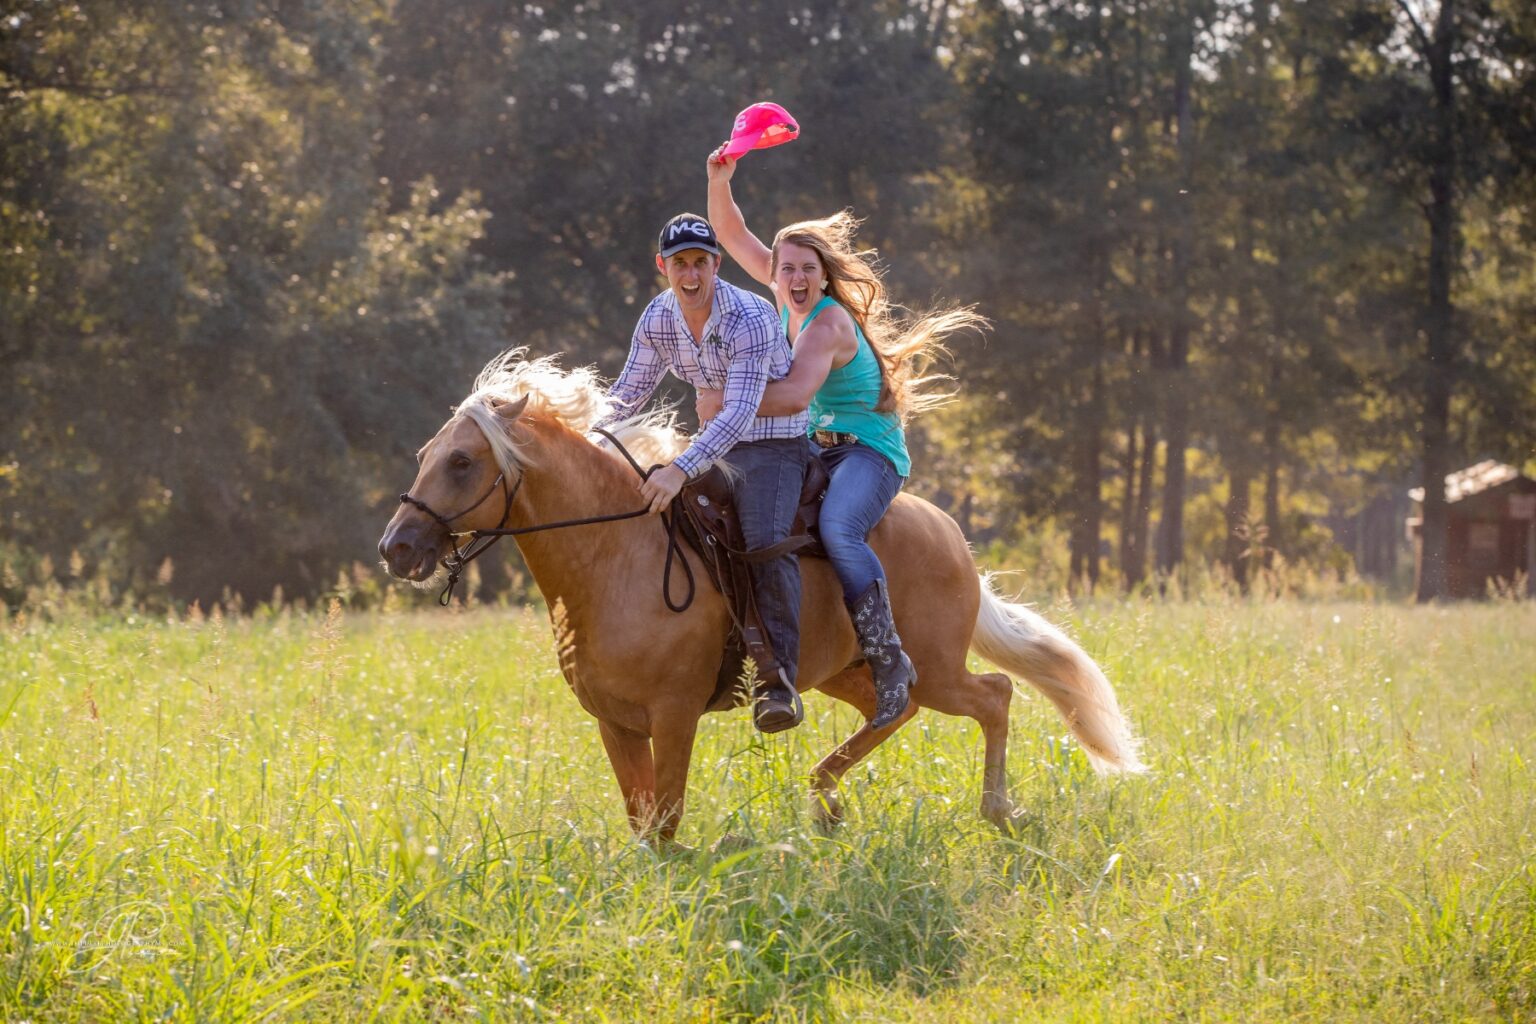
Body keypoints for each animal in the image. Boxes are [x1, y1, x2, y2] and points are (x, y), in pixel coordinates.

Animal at [378, 351, 1144, 842]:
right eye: (425, 455)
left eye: (462, 461)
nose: (397, 548)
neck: (614, 559)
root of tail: (950, 534)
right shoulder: (615, 722)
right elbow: (641, 821)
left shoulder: (673, 715)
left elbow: (665, 820)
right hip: (845, 673)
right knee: (896, 710)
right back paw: (826, 800)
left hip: (934, 667)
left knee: (994, 696)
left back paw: (997, 812)